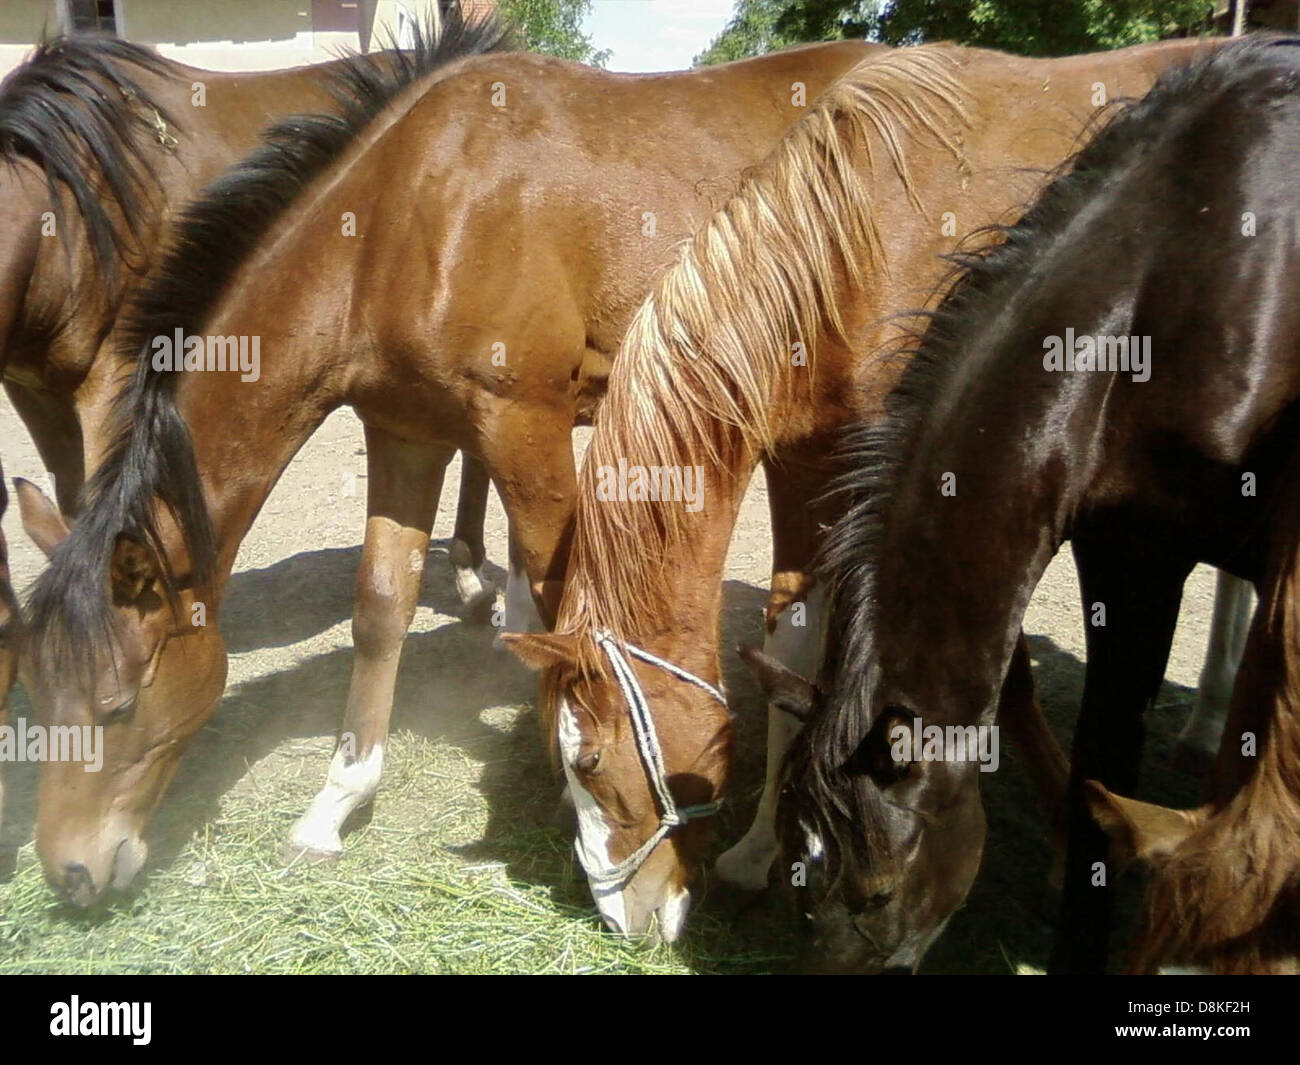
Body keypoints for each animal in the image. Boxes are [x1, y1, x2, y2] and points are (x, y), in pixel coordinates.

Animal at [19, 34, 883, 905]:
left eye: (117, 703)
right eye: (37, 695)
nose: (70, 872)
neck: (406, 217)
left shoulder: (523, 421)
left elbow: (560, 599)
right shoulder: (407, 433)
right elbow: (380, 606)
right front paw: (334, 803)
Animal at [502, 36, 1219, 942]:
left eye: (590, 759)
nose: (625, 917)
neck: (861, 242)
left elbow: (1008, 674)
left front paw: (1071, 838)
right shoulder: (808, 471)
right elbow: (790, 652)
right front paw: (759, 852)